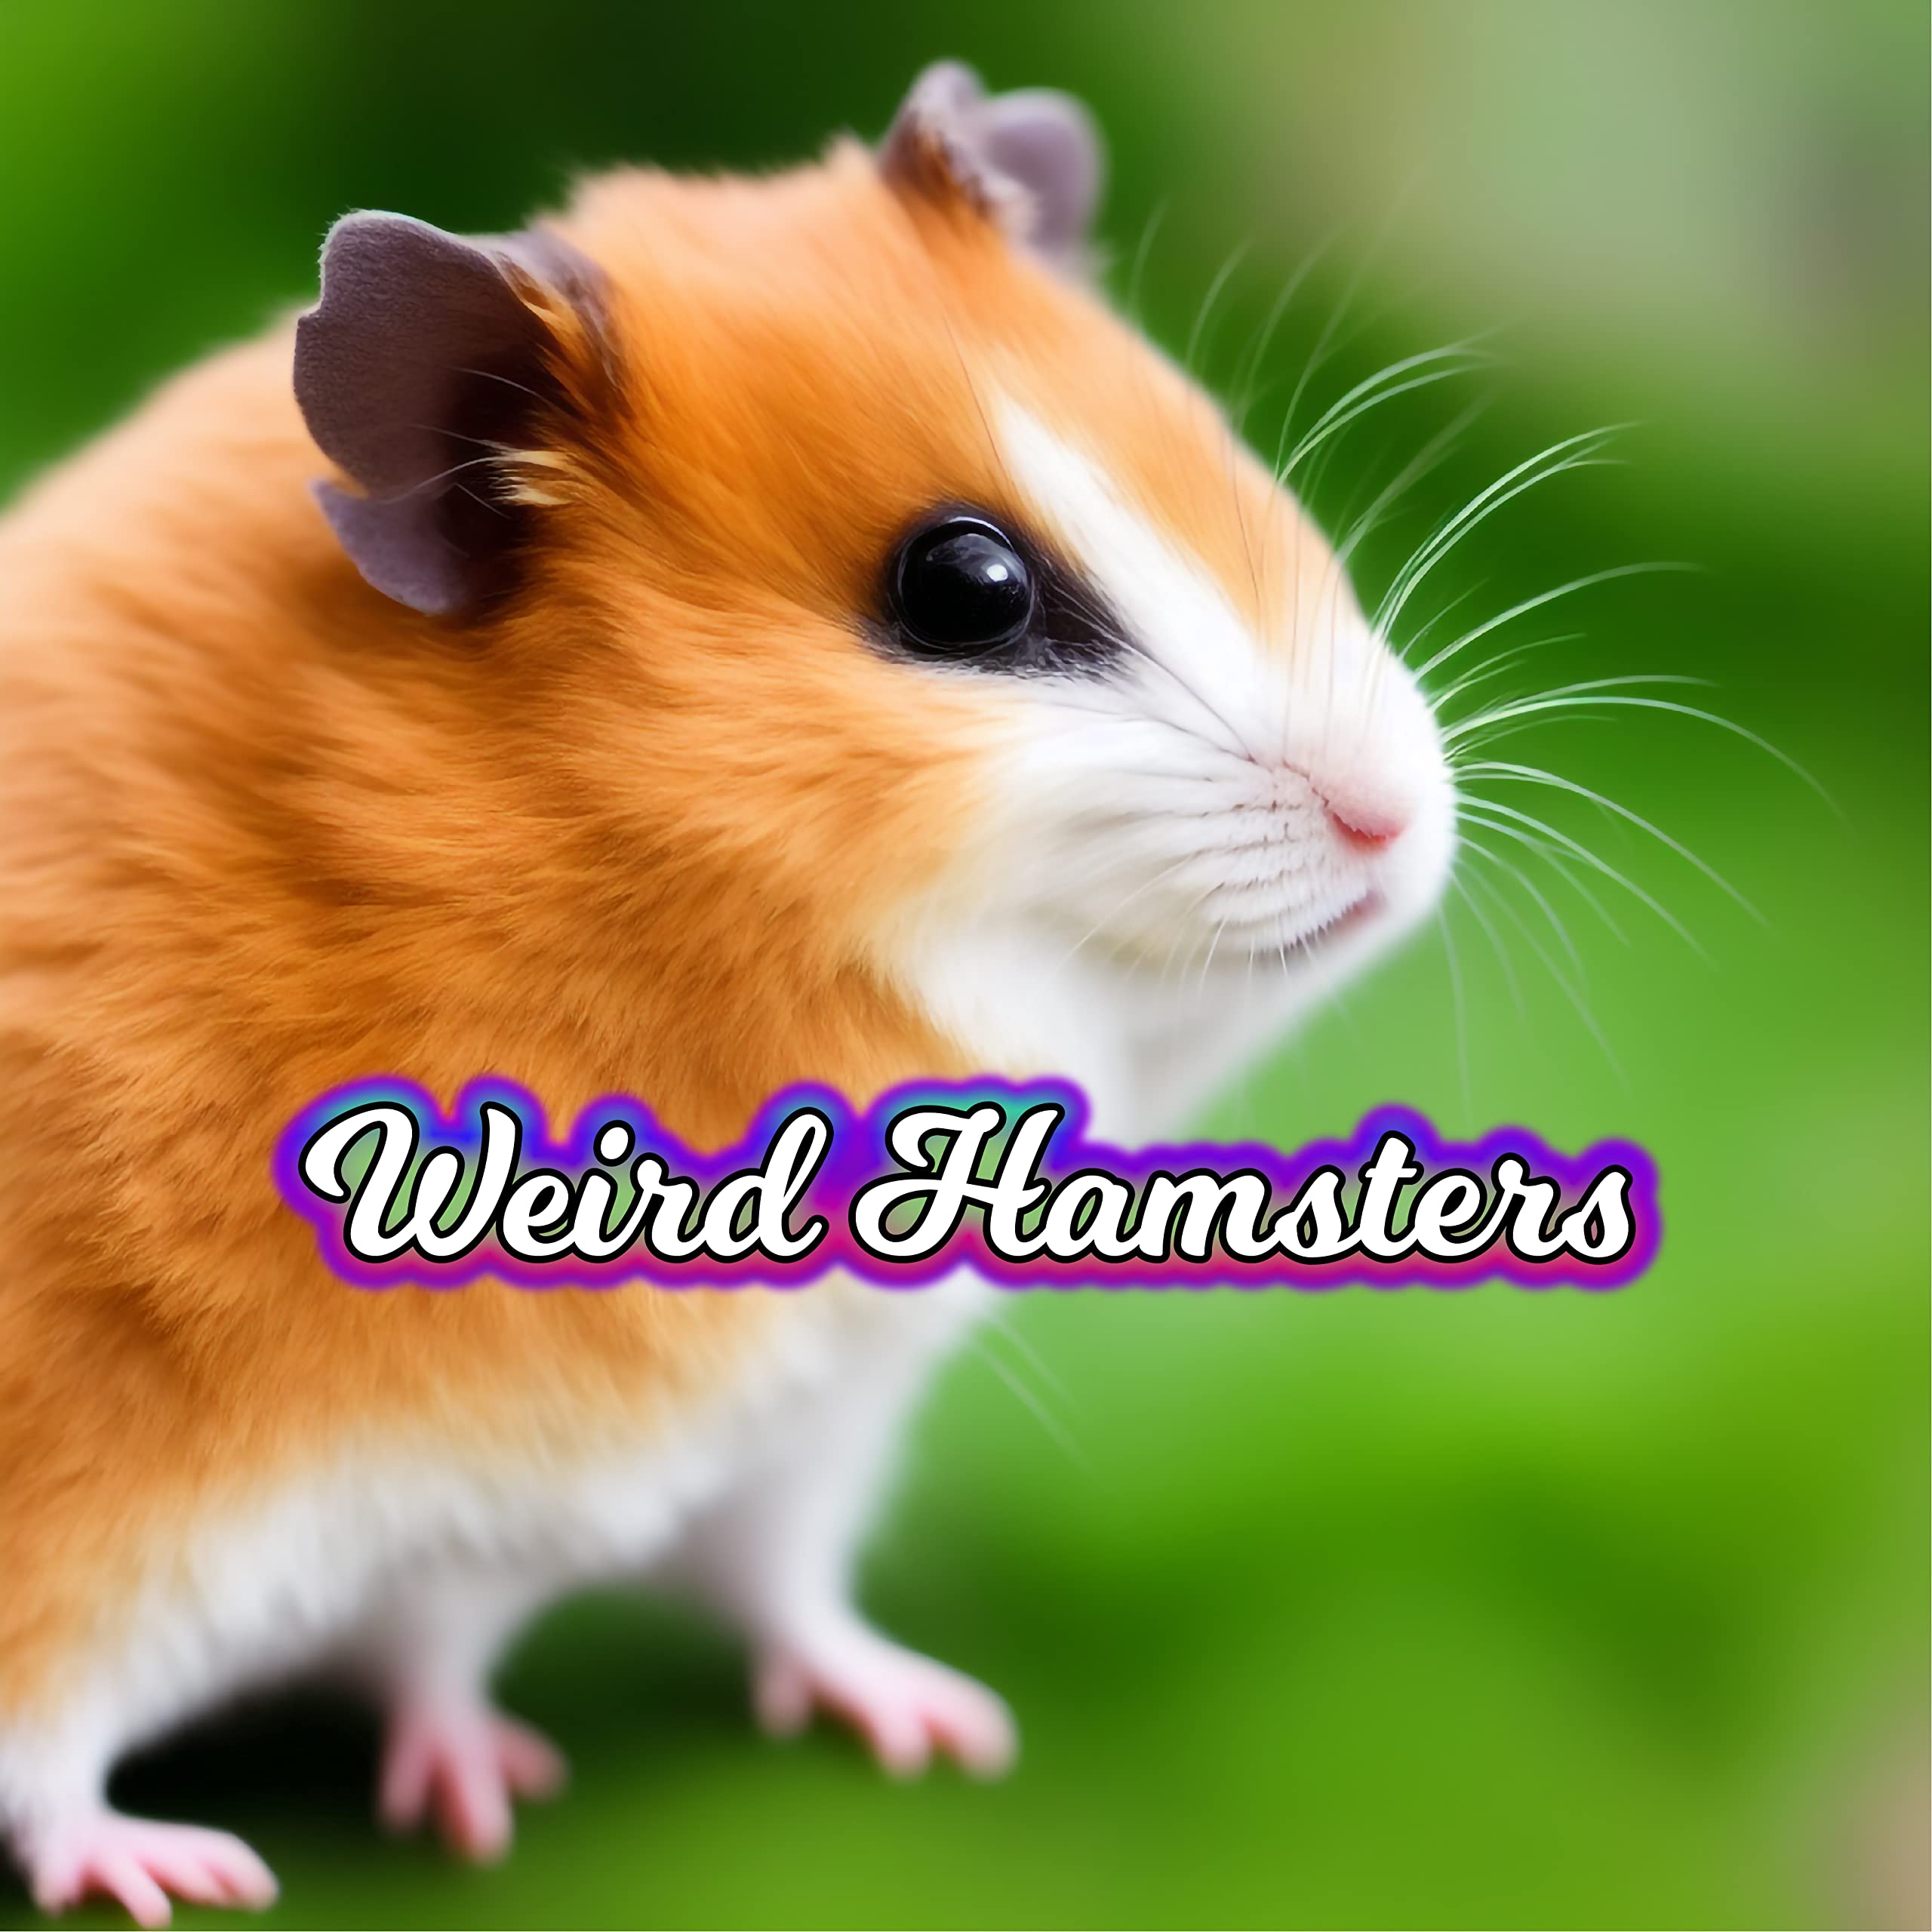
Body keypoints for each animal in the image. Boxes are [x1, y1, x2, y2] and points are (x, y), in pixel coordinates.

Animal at [0, 61, 1455, 1925]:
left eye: (1215, 447)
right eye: (964, 588)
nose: (1399, 824)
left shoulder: (734, 1450)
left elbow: (701, 1605)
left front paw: (936, 1730)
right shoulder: (127, 1518)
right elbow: (60, 1744)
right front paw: (332, 1850)